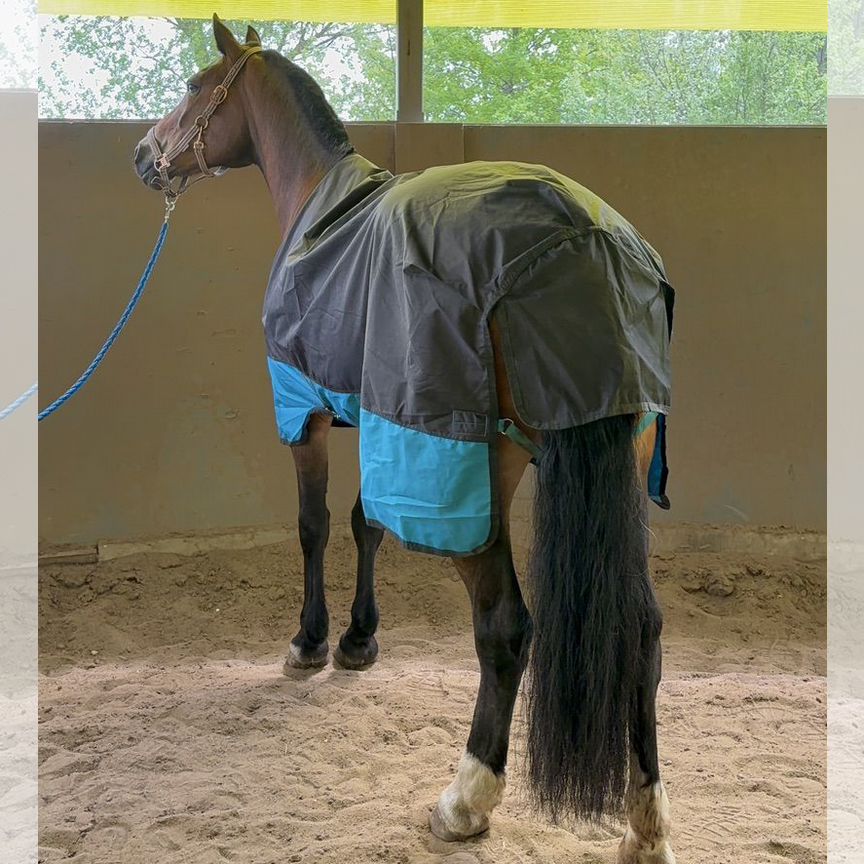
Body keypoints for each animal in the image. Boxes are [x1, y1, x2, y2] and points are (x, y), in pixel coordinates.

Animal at [133, 17, 676, 863]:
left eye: (195, 88)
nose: (143, 155)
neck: (318, 206)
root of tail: (584, 247)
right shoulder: (377, 421)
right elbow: (366, 525)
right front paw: (359, 640)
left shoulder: (308, 413)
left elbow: (316, 524)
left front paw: (311, 642)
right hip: (606, 473)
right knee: (641, 635)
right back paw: (646, 824)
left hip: (472, 484)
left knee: (505, 629)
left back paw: (466, 798)